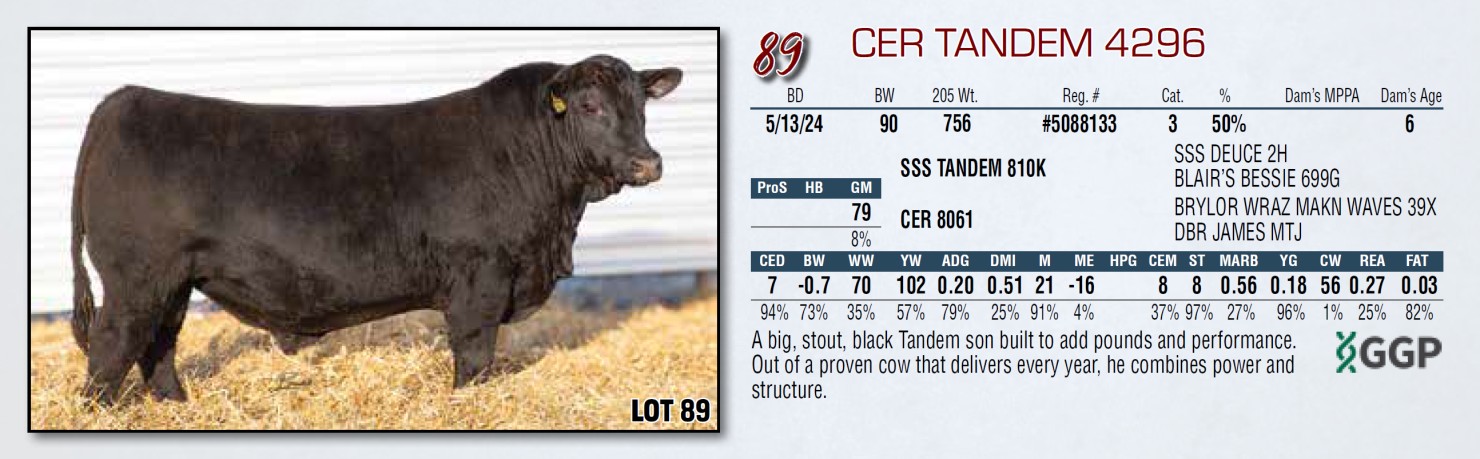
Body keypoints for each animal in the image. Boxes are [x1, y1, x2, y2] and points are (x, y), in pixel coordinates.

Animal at [68, 54, 683, 404]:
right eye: (588, 105)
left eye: (641, 106)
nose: (648, 163)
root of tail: (124, 99)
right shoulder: (481, 277)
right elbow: (474, 352)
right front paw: (467, 401)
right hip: (136, 278)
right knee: (113, 346)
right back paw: (101, 411)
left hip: (172, 281)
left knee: (158, 345)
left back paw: (177, 404)